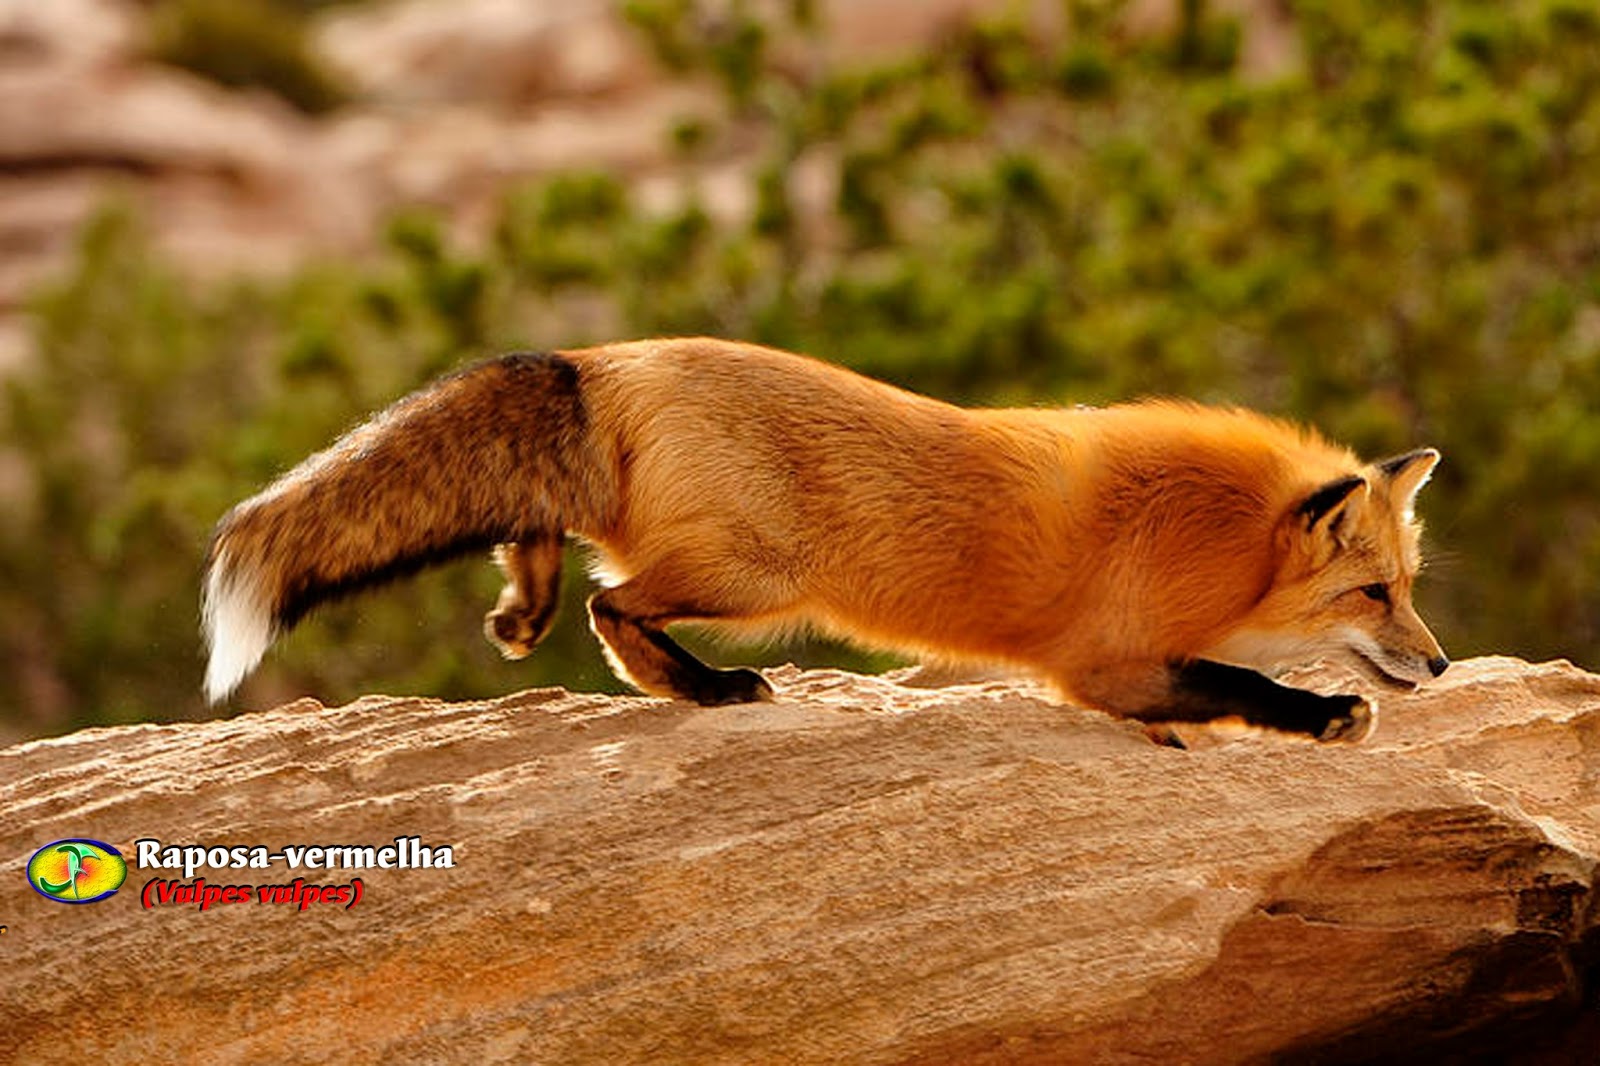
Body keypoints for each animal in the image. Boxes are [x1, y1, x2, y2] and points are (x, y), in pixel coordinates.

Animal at [203, 337, 1448, 742]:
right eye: (1372, 595)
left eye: (1406, 586)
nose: (1438, 663)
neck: (1211, 536)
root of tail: (611, 357)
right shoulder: (1105, 663)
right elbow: (1242, 683)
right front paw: (1325, 714)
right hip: (755, 576)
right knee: (614, 604)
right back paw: (703, 688)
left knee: (551, 535)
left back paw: (525, 604)